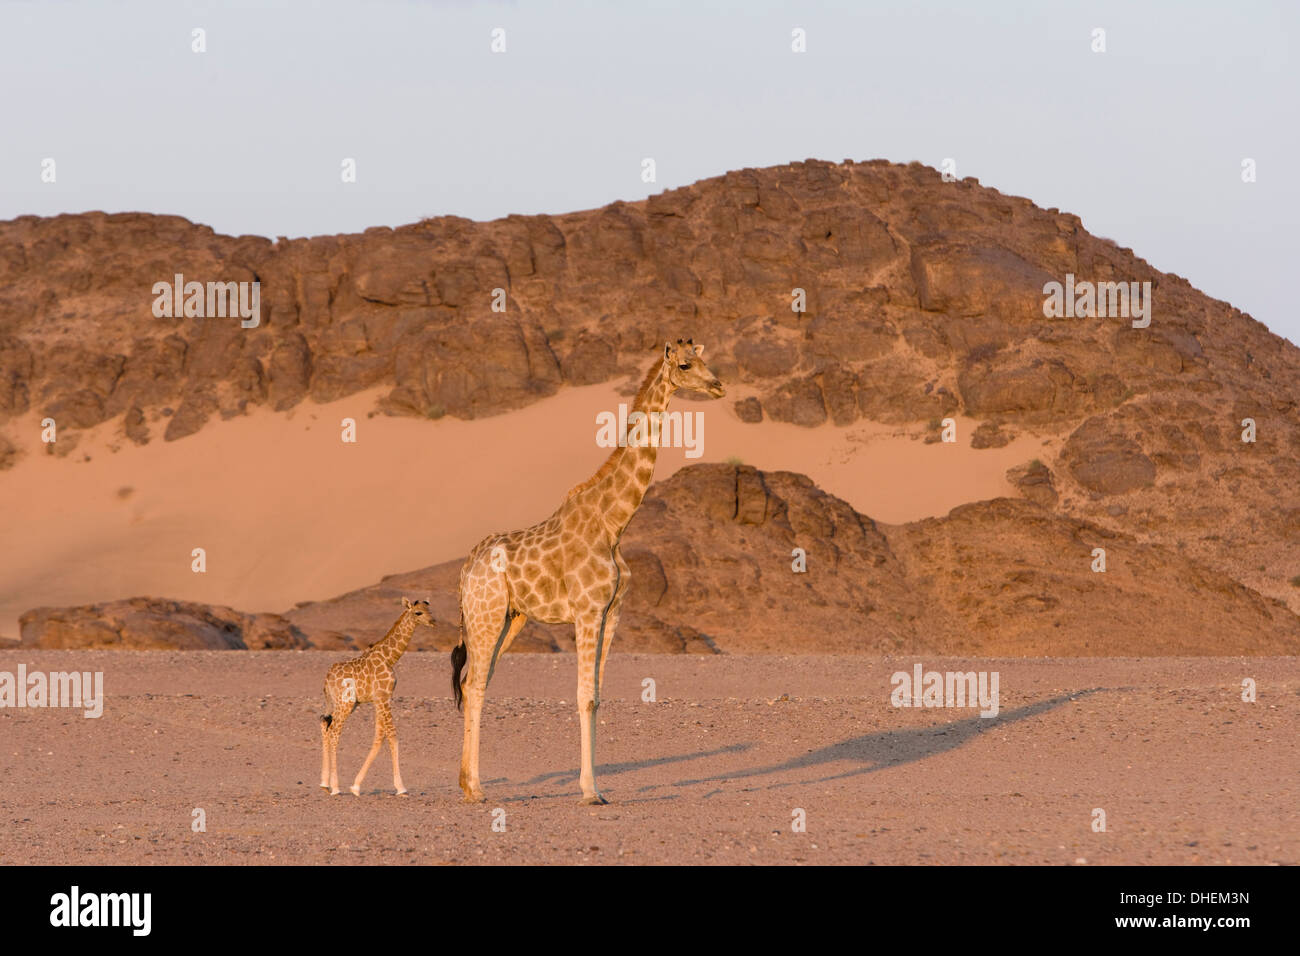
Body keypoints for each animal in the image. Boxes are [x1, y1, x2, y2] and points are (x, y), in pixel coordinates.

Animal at [319, 597, 435, 796]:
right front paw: (401, 787)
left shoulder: (379, 699)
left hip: (344, 703)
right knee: (333, 731)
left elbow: (379, 737)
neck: (390, 658)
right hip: (346, 702)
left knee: (324, 724)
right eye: (417, 612)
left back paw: (325, 784)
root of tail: (327, 679)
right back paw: (335, 787)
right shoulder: (383, 697)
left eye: (430, 610)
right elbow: (392, 736)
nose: (433, 622)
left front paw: (356, 786)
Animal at [450, 339, 725, 804]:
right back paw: (478, 789)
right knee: (476, 685)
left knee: (473, 684)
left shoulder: (612, 612)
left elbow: (597, 696)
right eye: (687, 365)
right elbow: (582, 697)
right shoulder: (586, 610)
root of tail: (466, 570)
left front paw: (595, 786)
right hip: (486, 616)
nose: (719, 385)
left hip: (508, 619)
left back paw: (467, 786)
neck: (613, 523)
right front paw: (590, 791)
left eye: (706, 360)